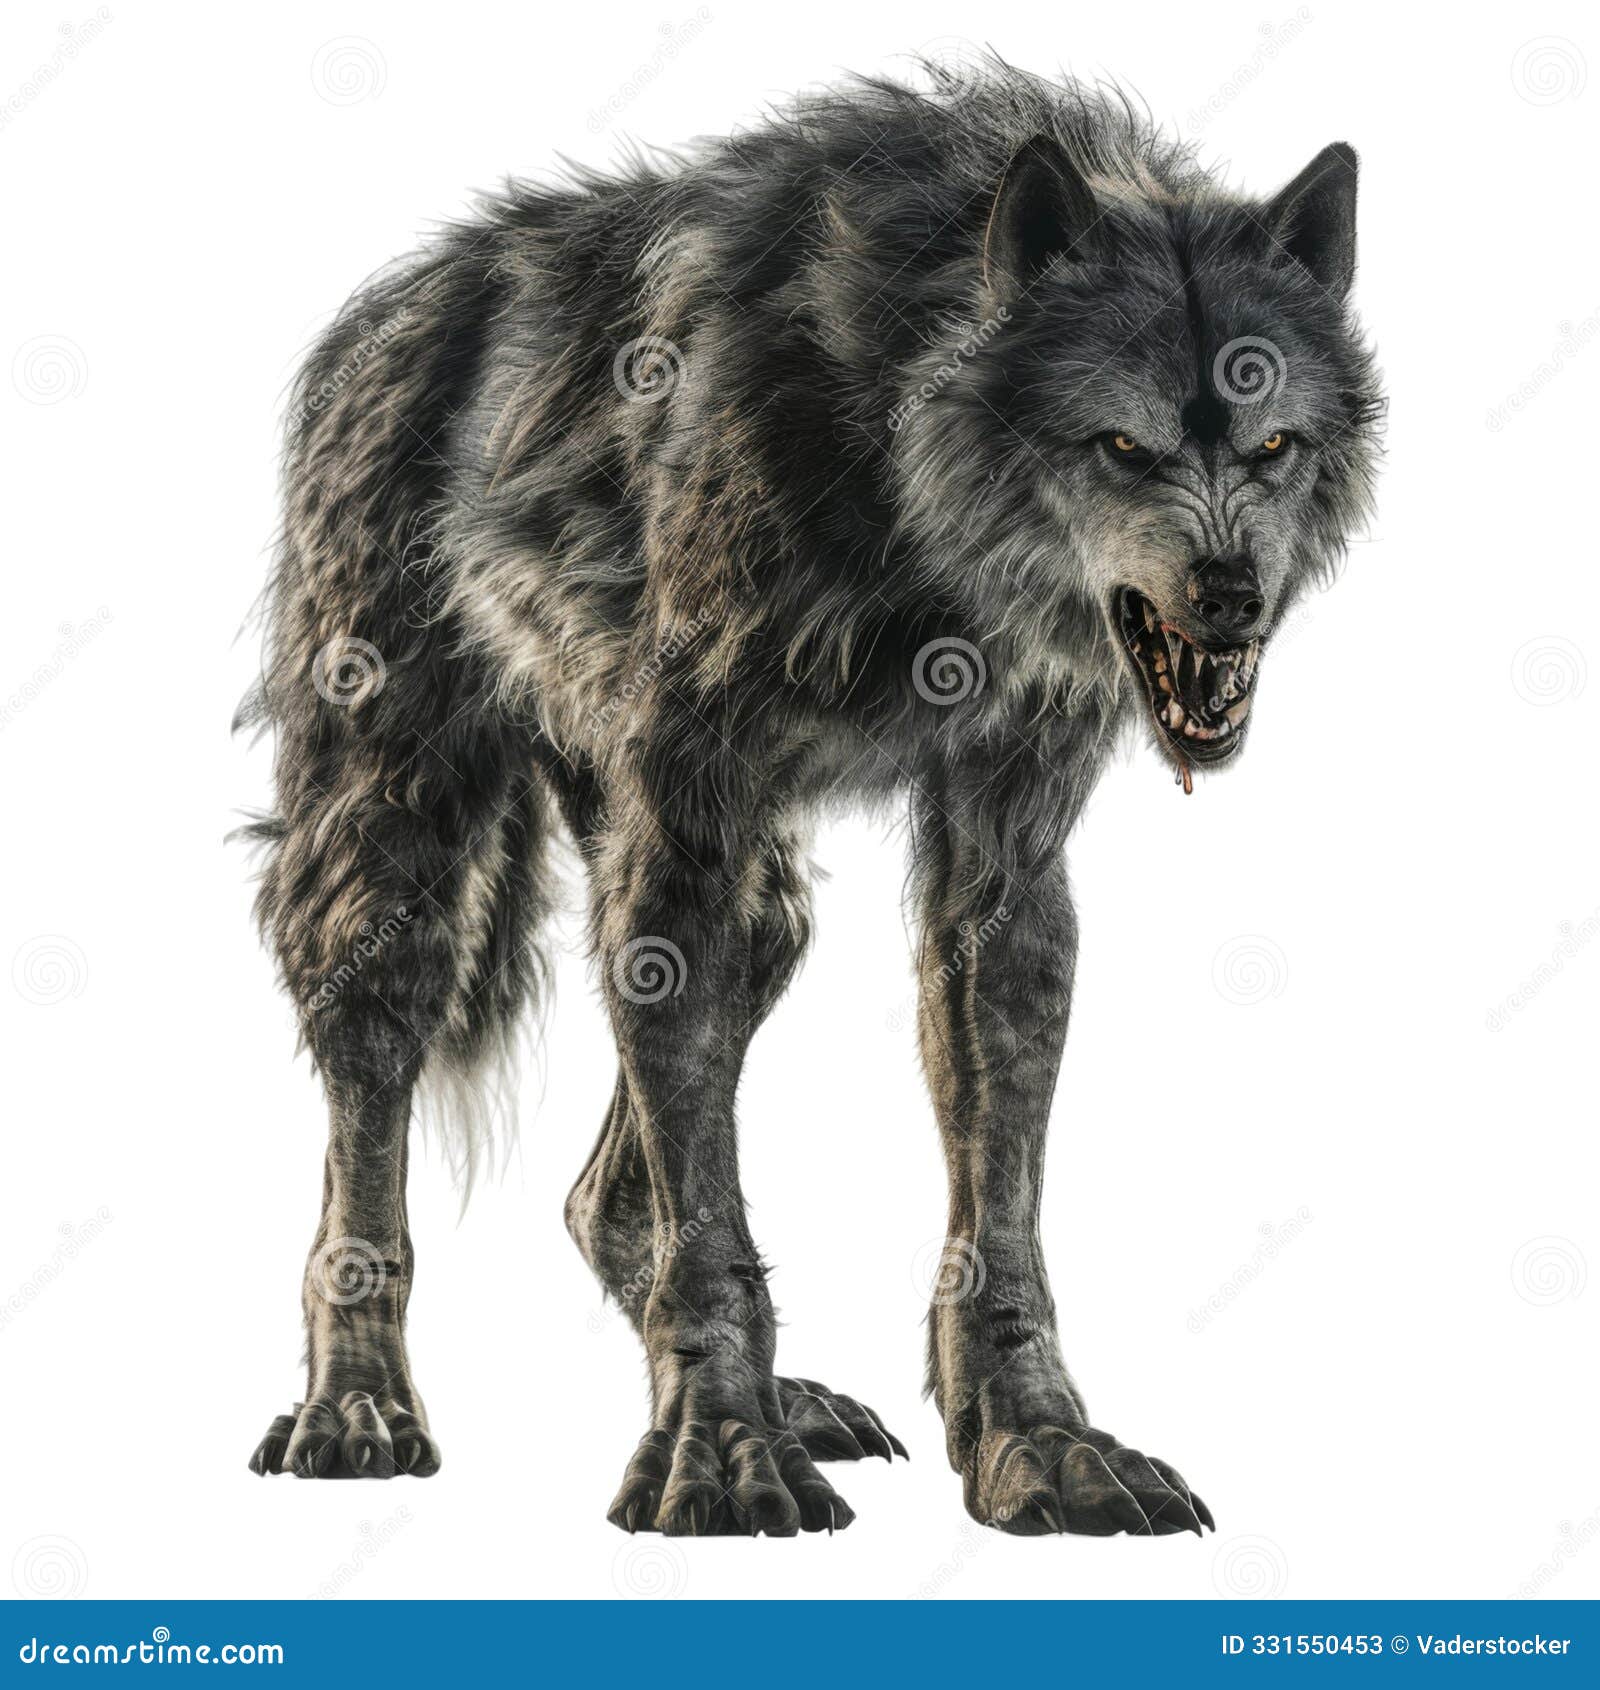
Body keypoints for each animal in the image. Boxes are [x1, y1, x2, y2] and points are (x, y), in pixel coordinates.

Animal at [240, 60, 1381, 1536]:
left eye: (1275, 440)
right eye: (1122, 446)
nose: (1232, 597)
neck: (895, 435)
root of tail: (383, 314)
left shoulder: (1000, 859)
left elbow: (992, 1200)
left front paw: (1036, 1441)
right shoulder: (684, 822)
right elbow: (709, 1210)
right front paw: (719, 1452)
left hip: (763, 905)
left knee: (608, 1190)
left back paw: (785, 1394)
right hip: (406, 862)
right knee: (376, 1112)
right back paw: (358, 1407)